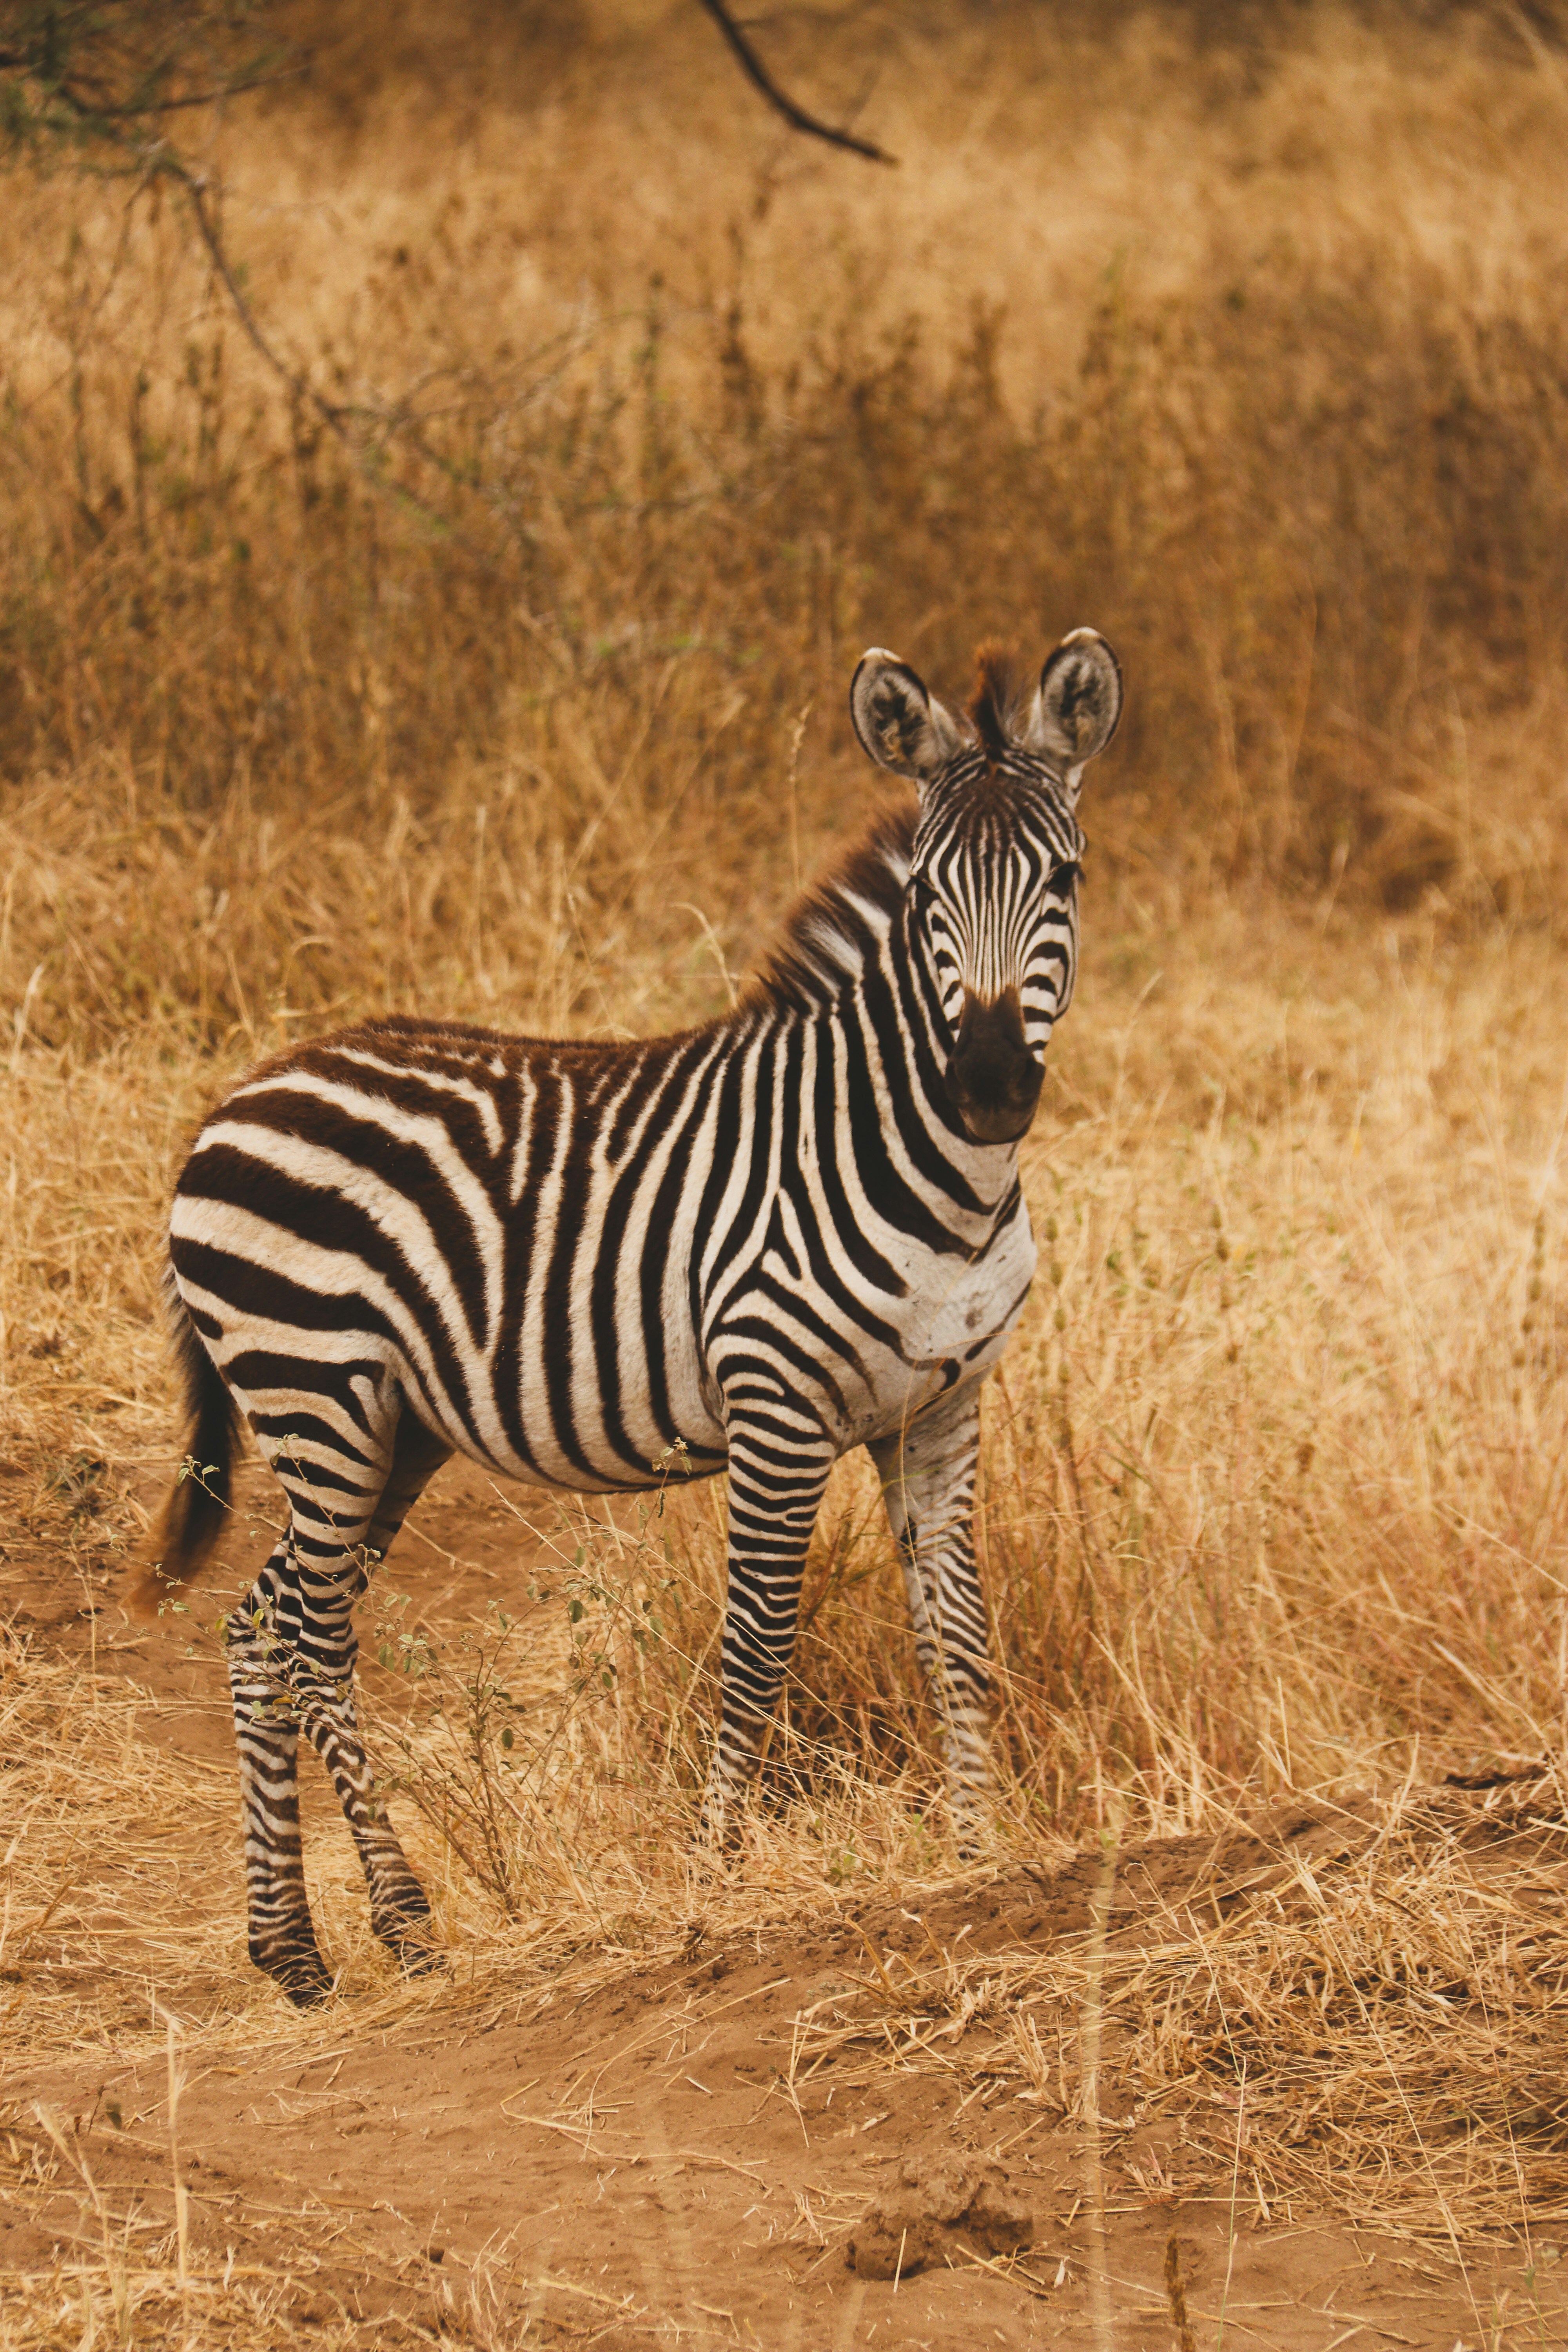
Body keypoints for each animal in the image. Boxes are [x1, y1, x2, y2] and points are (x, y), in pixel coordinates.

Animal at [135, 629, 1123, 2005]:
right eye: (930, 898)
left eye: (1066, 878)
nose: (987, 1088)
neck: (944, 1177)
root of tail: (236, 1098)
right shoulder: (776, 1402)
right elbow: (757, 1644)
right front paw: (715, 1880)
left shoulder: (942, 1409)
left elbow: (961, 1635)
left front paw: (983, 1854)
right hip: (315, 1388)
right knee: (315, 1636)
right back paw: (404, 1923)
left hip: (387, 1428)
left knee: (259, 1625)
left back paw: (293, 1950)